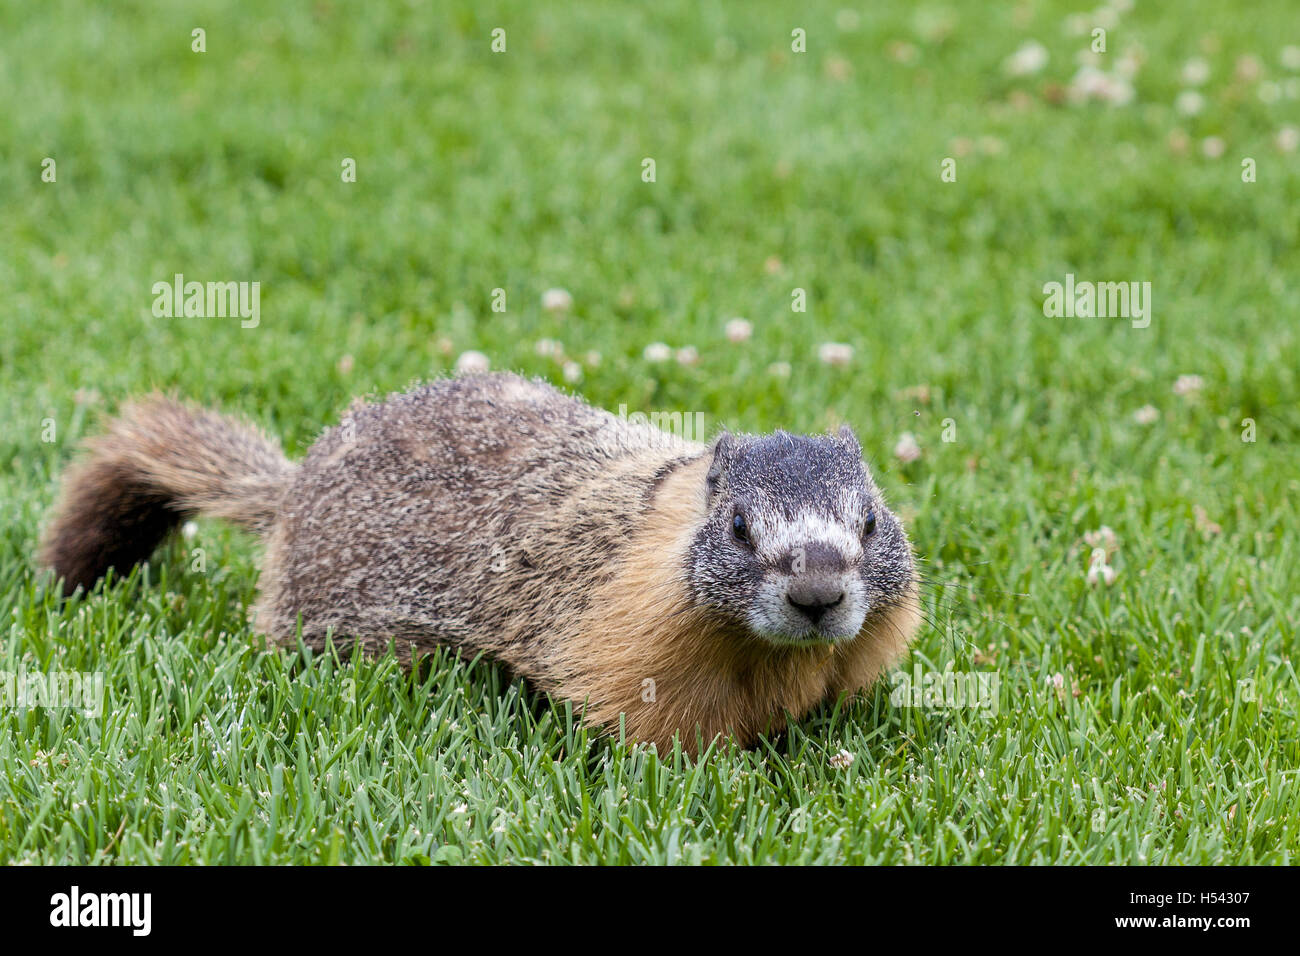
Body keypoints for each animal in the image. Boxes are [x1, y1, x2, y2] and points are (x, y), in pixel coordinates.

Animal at [40, 372, 921, 753]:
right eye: (738, 526)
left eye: (870, 519)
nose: (818, 593)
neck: (769, 656)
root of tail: (291, 491)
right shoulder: (635, 630)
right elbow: (657, 717)